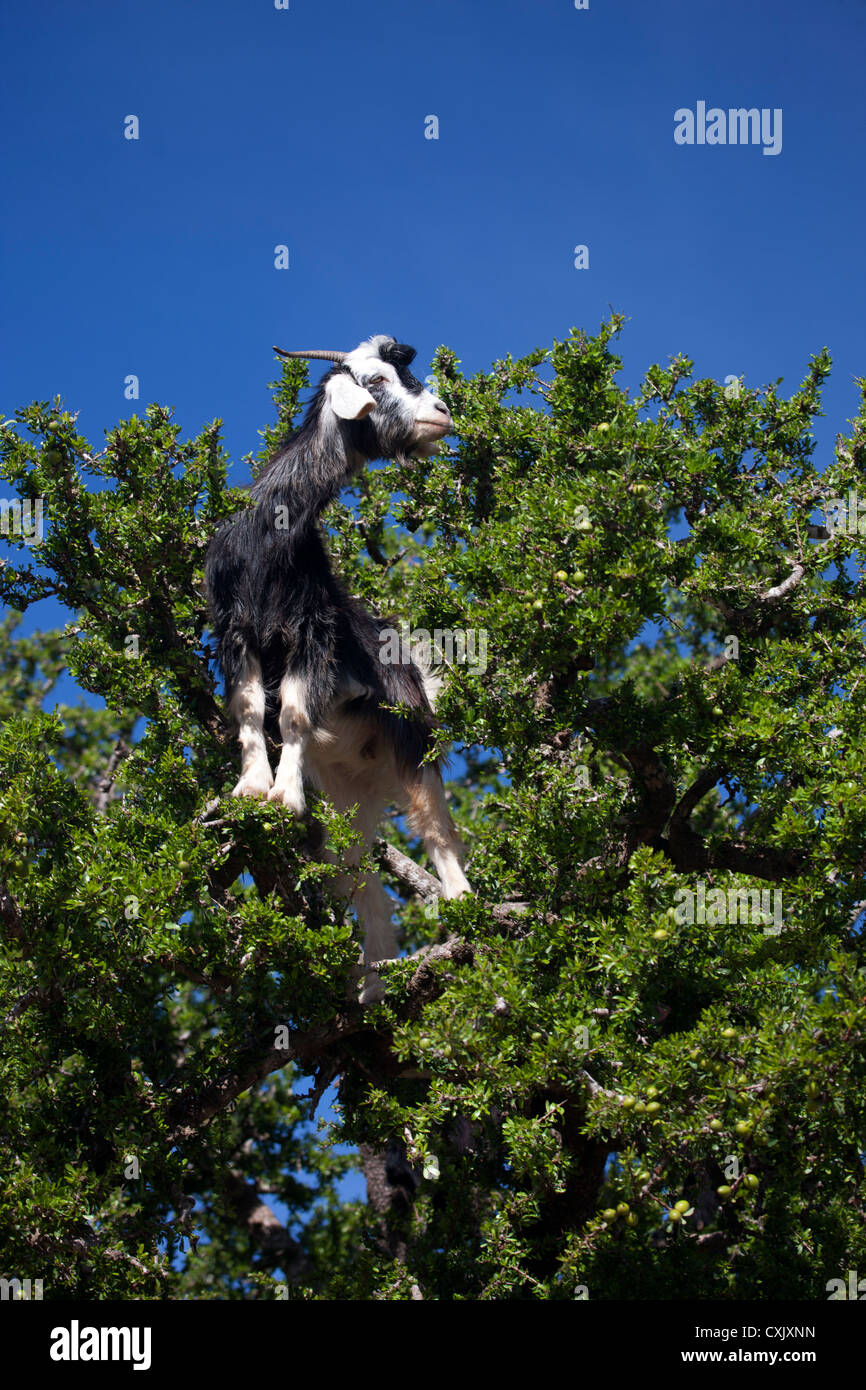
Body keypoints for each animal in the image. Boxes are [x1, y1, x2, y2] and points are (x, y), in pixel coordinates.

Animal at [205, 335, 471, 1000]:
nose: (441, 413)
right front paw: (251, 788)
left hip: (412, 741)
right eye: (375, 380)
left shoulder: (312, 633)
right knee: (359, 878)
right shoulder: (236, 631)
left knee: (437, 833)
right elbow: (250, 710)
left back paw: (465, 915)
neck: (271, 540)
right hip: (350, 793)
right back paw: (372, 984)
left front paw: (283, 798)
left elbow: (295, 715)